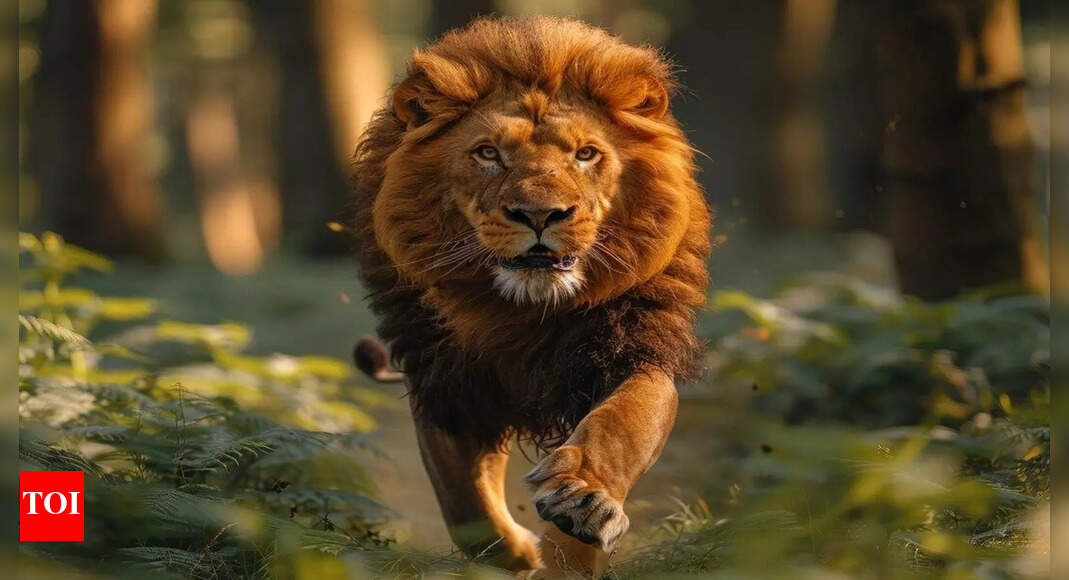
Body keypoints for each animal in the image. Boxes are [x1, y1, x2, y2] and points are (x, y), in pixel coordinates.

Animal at [351, 17, 711, 575]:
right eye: (488, 154)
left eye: (585, 154)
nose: (540, 215)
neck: (526, 312)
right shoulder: (448, 383)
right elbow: (465, 504)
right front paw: (519, 553)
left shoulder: (633, 349)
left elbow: (619, 428)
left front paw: (583, 509)